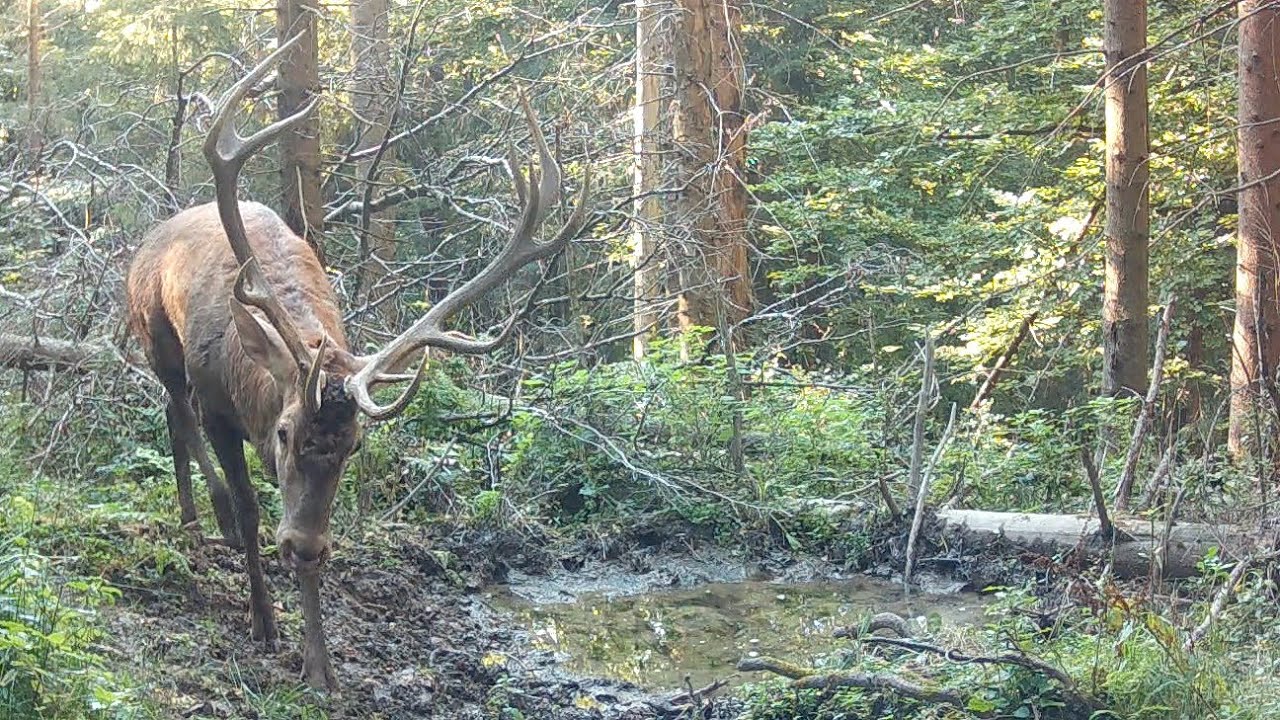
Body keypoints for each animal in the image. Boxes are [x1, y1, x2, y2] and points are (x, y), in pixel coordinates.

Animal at [124, 34, 589, 689]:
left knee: (171, 413)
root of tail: (151, 234)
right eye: (284, 431)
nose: (302, 545)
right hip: (154, 334)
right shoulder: (219, 402)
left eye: (355, 446)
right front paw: (263, 623)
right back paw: (201, 519)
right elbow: (248, 510)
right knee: (174, 408)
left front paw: (319, 667)